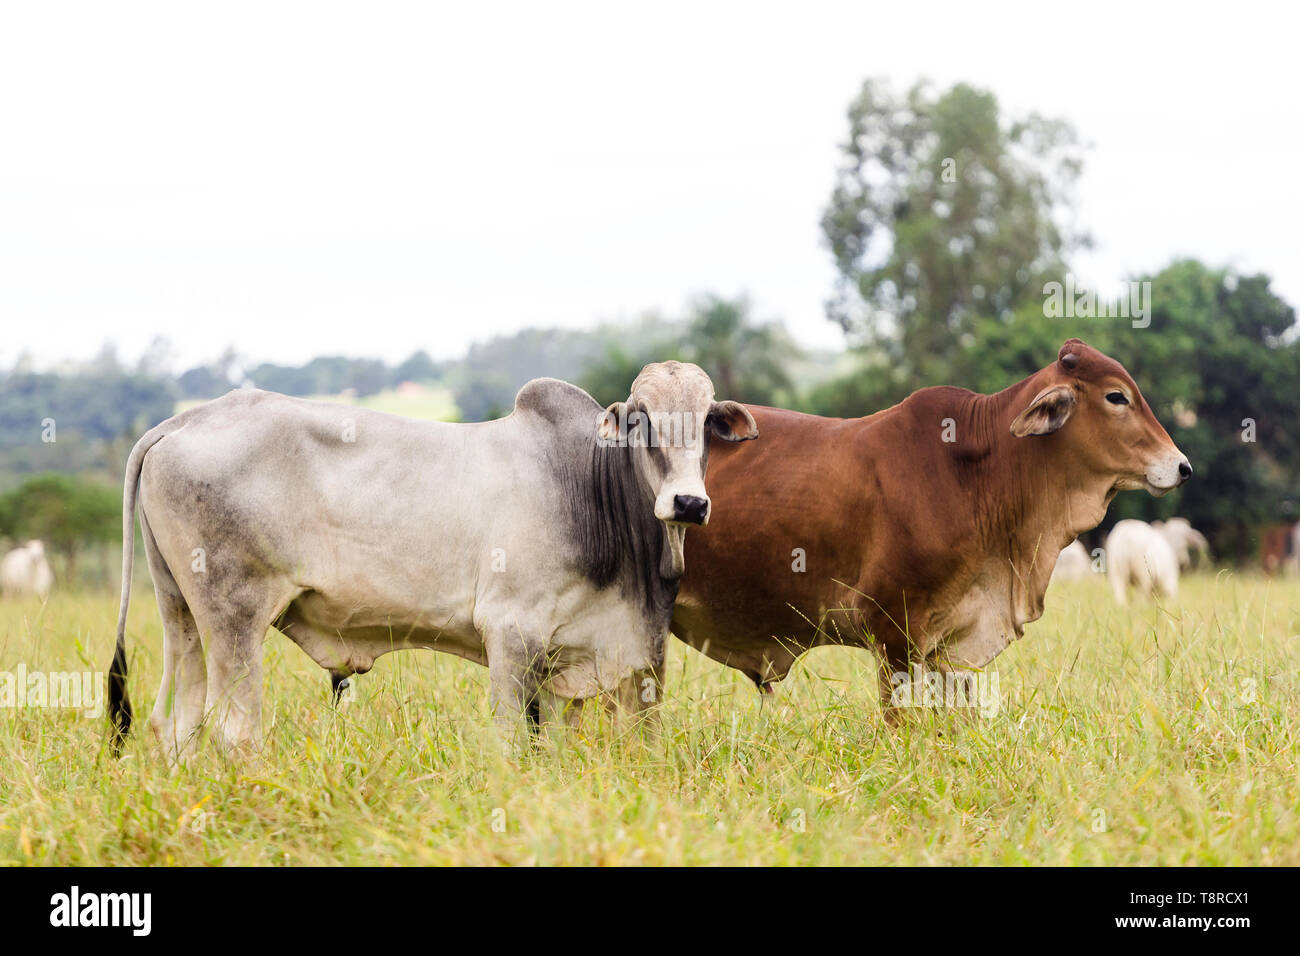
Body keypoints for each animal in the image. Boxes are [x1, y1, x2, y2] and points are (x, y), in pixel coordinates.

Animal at [107, 362, 758, 759]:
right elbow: (511, 741)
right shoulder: (510, 634)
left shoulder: (578, 662)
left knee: (177, 725)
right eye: (641, 417)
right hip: (234, 617)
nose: (689, 502)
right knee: (234, 730)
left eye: (706, 420)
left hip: (181, 613)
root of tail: (184, 419)